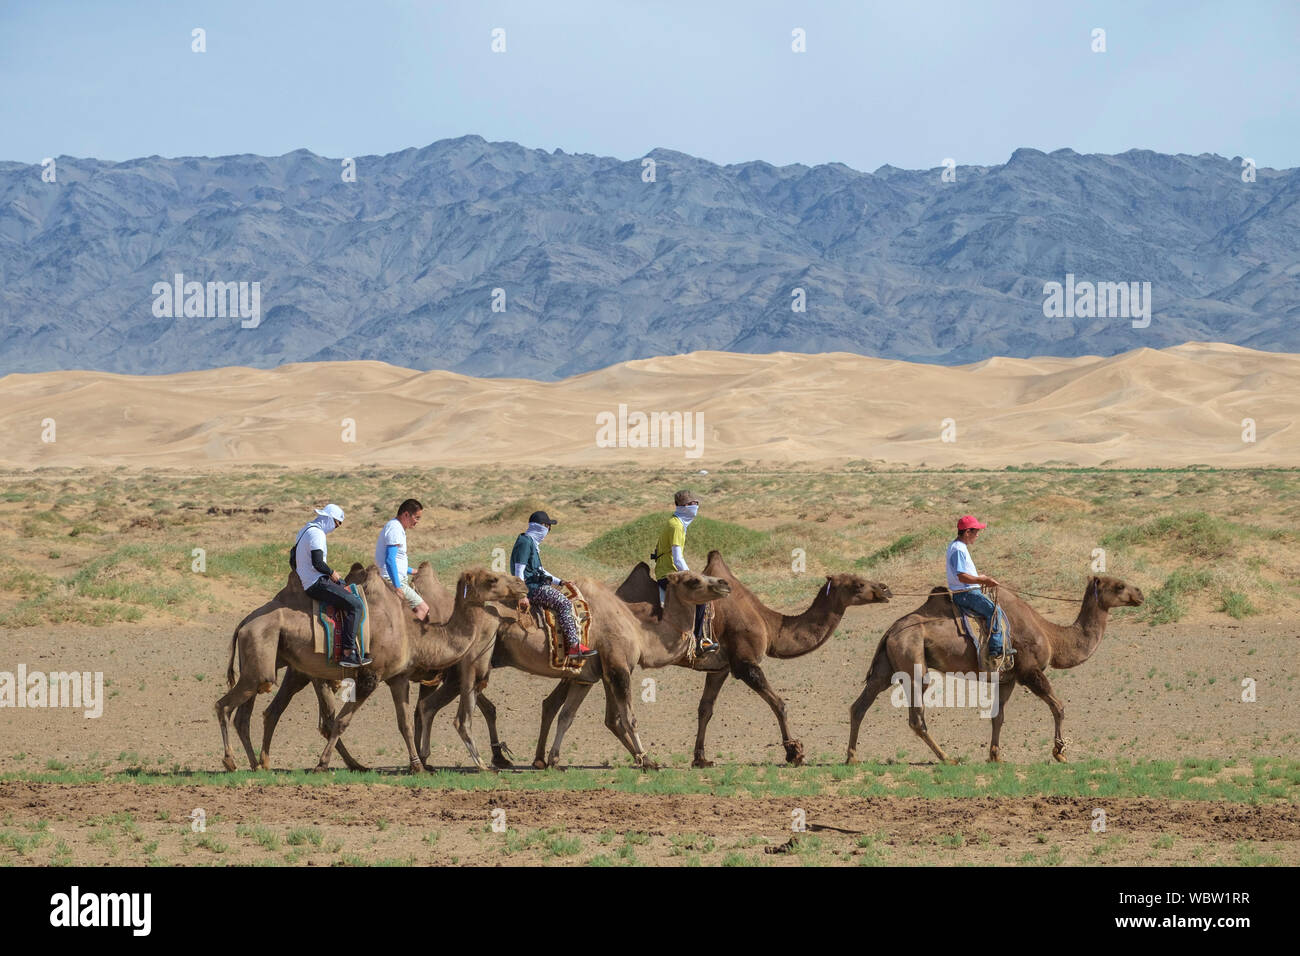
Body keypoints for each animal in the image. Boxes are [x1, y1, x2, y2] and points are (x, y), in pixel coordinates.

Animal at [215, 565, 525, 773]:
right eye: (492, 579)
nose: (521, 584)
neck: (413, 632)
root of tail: (243, 622)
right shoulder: (371, 677)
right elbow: (342, 721)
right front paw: (321, 764)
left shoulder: (399, 677)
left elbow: (405, 722)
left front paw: (417, 765)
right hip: (264, 658)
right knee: (224, 705)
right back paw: (231, 761)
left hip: (267, 661)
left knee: (252, 712)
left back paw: (258, 763)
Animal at [415, 570, 733, 771]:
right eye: (693, 580)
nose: (724, 583)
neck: (641, 634)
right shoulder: (618, 668)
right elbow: (629, 718)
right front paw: (647, 760)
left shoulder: (586, 677)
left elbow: (567, 717)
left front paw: (554, 760)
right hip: (469, 665)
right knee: (447, 708)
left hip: (462, 670)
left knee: (430, 706)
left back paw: (427, 760)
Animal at [607, 551, 892, 766]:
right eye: (858, 584)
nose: (885, 588)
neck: (769, 624)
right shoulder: (745, 663)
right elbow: (779, 704)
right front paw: (794, 752)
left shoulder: (720, 668)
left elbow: (705, 709)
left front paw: (701, 759)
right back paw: (642, 759)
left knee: (612, 717)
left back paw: (640, 758)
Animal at [844, 574, 1144, 764]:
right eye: (1119, 585)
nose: (1140, 593)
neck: (1052, 636)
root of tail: (890, 630)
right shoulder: (1029, 671)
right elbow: (1058, 706)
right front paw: (1059, 752)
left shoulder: (1007, 678)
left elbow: (997, 717)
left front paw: (995, 756)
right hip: (913, 661)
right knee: (916, 716)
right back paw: (947, 758)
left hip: (887, 665)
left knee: (860, 705)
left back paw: (852, 757)